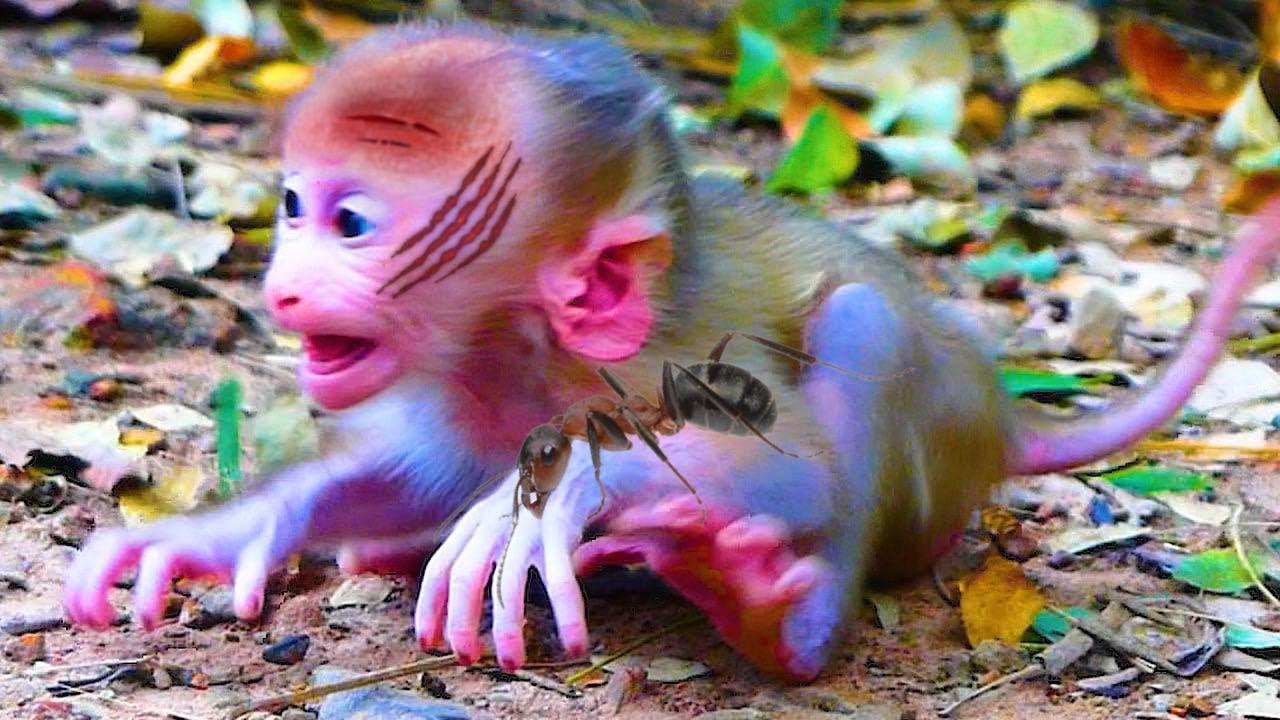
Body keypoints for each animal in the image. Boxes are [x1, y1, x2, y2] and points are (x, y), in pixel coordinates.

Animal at [61, 23, 1280, 682]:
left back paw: (784, 628)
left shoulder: (659, 363)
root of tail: (1001, 423)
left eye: (351, 223)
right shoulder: (445, 395)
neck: (516, 352)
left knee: (861, 327)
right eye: (291, 205)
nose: (282, 280)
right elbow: (396, 468)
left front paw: (546, 504)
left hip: (937, 461)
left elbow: (791, 473)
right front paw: (207, 535)